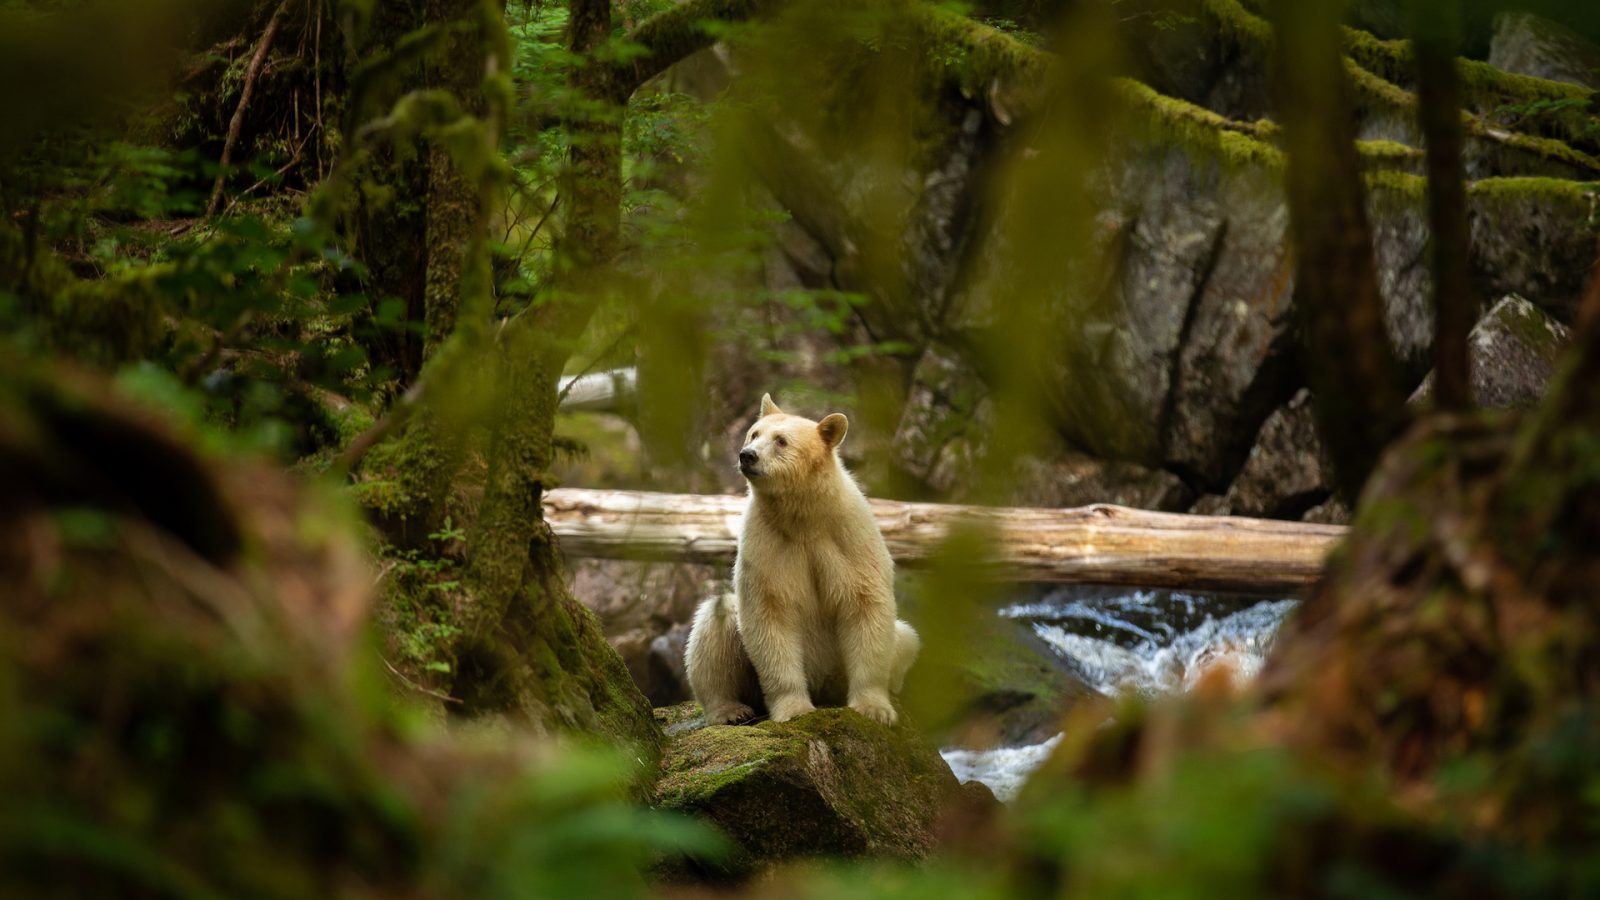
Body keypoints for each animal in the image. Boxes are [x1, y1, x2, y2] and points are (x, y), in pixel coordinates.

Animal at [684, 393, 920, 726]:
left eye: (781, 441)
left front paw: (874, 709)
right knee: (716, 621)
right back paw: (730, 710)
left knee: (906, 638)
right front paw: (794, 709)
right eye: (754, 434)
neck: (804, 517)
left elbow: (865, 604)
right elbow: (770, 611)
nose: (747, 456)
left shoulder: (849, 536)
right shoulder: (767, 541)